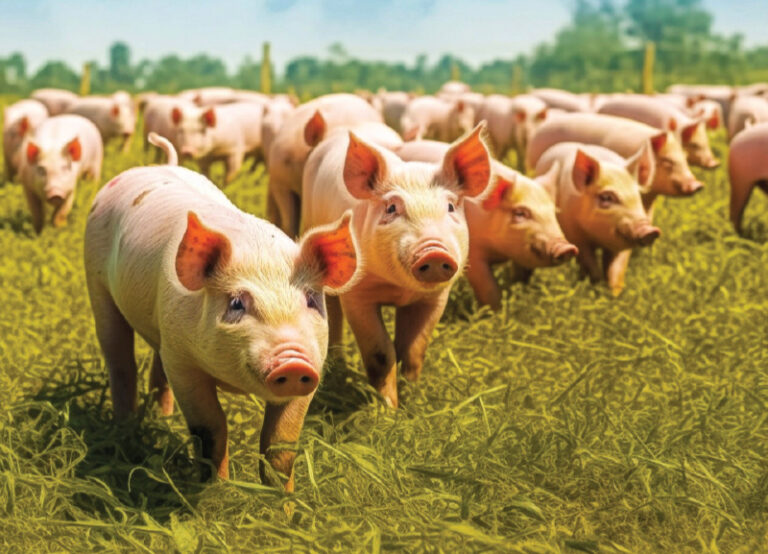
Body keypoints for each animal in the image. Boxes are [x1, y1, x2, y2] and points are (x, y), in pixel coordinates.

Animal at [84, 132, 359, 490]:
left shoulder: (314, 367)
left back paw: (162, 417)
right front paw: (218, 492)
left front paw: (284, 502)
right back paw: (125, 428)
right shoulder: (184, 363)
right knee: (120, 361)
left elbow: (281, 445)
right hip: (96, 283)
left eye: (311, 300)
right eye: (237, 303)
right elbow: (211, 430)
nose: (292, 360)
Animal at [301, 124, 492, 408]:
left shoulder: (436, 297)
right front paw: (388, 409)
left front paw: (413, 399)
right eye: (391, 208)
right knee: (333, 312)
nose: (433, 251)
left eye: (450, 207)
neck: (400, 290)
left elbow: (413, 350)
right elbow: (381, 353)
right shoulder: (358, 296)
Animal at [396, 139, 577, 309]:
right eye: (520, 213)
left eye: (553, 212)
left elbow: (522, 276)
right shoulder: (474, 253)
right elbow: (488, 288)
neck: (499, 251)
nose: (567, 248)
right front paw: (495, 313)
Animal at [535, 142, 660, 295]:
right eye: (606, 197)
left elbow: (616, 270)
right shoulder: (576, 238)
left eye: (638, 197)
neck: (598, 239)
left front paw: (614, 294)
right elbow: (590, 265)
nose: (650, 231)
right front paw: (596, 289)